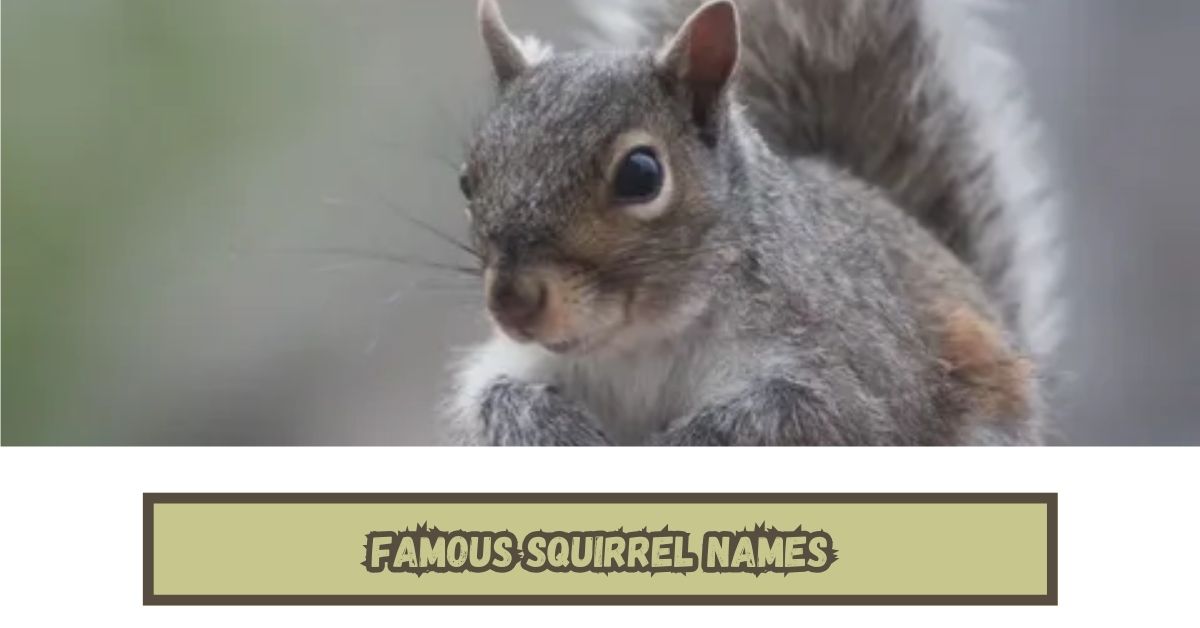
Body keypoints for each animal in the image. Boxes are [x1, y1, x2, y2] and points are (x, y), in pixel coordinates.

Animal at [445, 0, 1060, 445]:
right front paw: (548, 428)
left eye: (641, 175)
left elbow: (803, 418)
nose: (511, 303)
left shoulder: (853, 371)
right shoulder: (524, 362)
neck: (643, 342)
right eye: (468, 180)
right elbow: (493, 399)